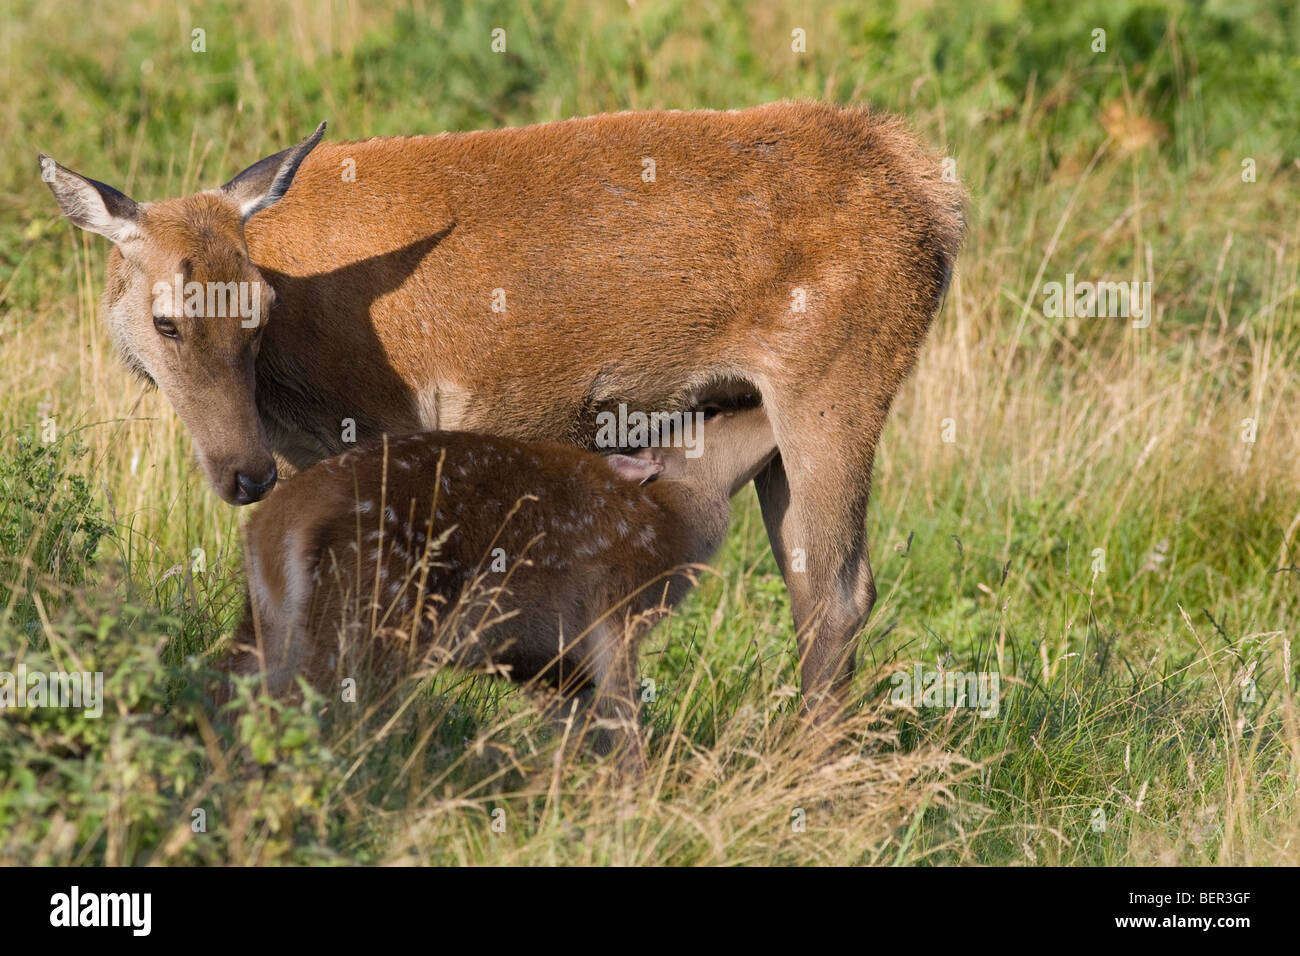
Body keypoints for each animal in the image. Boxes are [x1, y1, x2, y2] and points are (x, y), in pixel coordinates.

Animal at [39, 101, 965, 719]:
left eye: (257, 314)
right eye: (166, 320)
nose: (244, 472)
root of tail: (937, 199)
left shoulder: (395, 418)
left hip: (840, 377)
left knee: (837, 591)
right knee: (809, 577)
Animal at [228, 403, 778, 764]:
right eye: (715, 414)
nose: (761, 403)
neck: (673, 525)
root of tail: (276, 528)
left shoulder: (553, 660)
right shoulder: (613, 606)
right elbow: (624, 721)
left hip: (266, 625)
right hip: (365, 620)